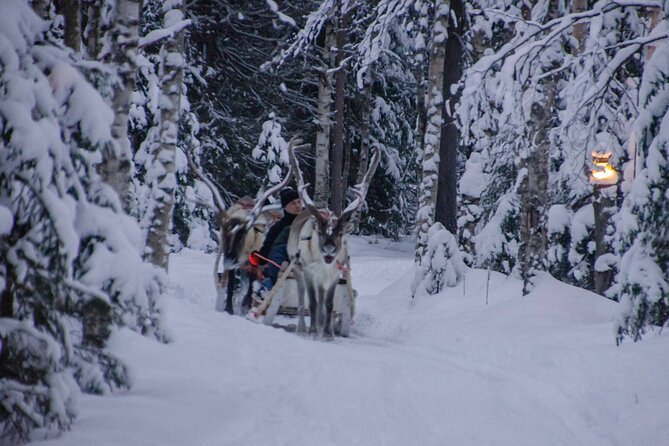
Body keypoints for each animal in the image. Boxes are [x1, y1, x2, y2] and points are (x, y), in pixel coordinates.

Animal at [286, 136, 381, 339]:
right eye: (320, 232)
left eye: (340, 233)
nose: (329, 250)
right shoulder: (309, 272)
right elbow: (312, 303)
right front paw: (314, 330)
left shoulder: (335, 275)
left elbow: (328, 304)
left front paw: (328, 332)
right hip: (297, 270)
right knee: (301, 299)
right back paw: (302, 327)